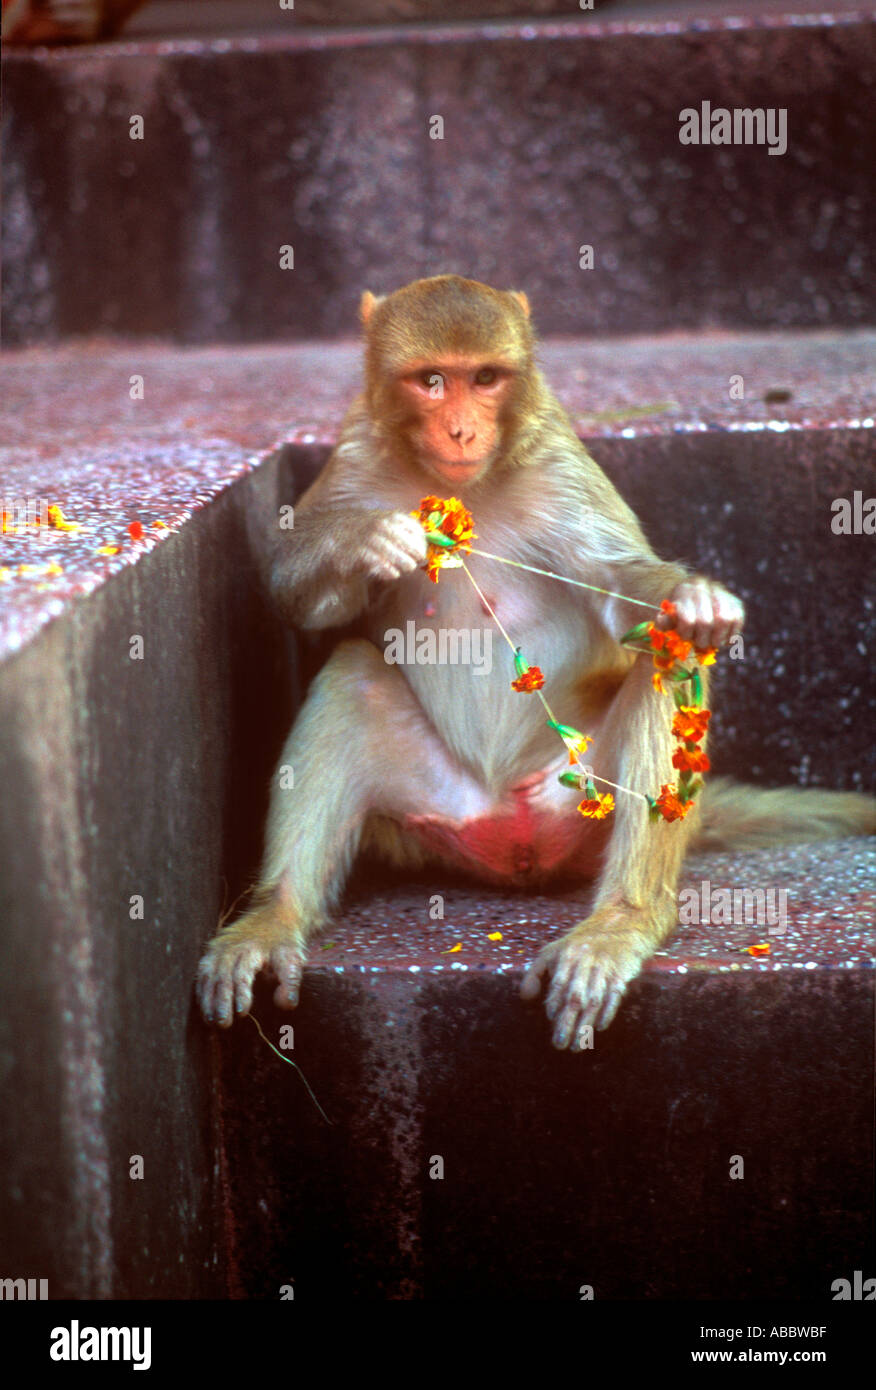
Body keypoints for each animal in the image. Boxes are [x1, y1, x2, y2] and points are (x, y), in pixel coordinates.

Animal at [197, 275, 876, 1049]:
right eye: (432, 380)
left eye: (486, 379)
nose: (462, 431)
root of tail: (511, 825)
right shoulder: (358, 454)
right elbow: (293, 592)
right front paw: (369, 542)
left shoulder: (559, 468)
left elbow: (622, 595)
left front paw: (695, 601)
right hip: (437, 813)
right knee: (351, 675)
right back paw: (274, 917)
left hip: (578, 798)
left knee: (662, 663)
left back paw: (623, 922)